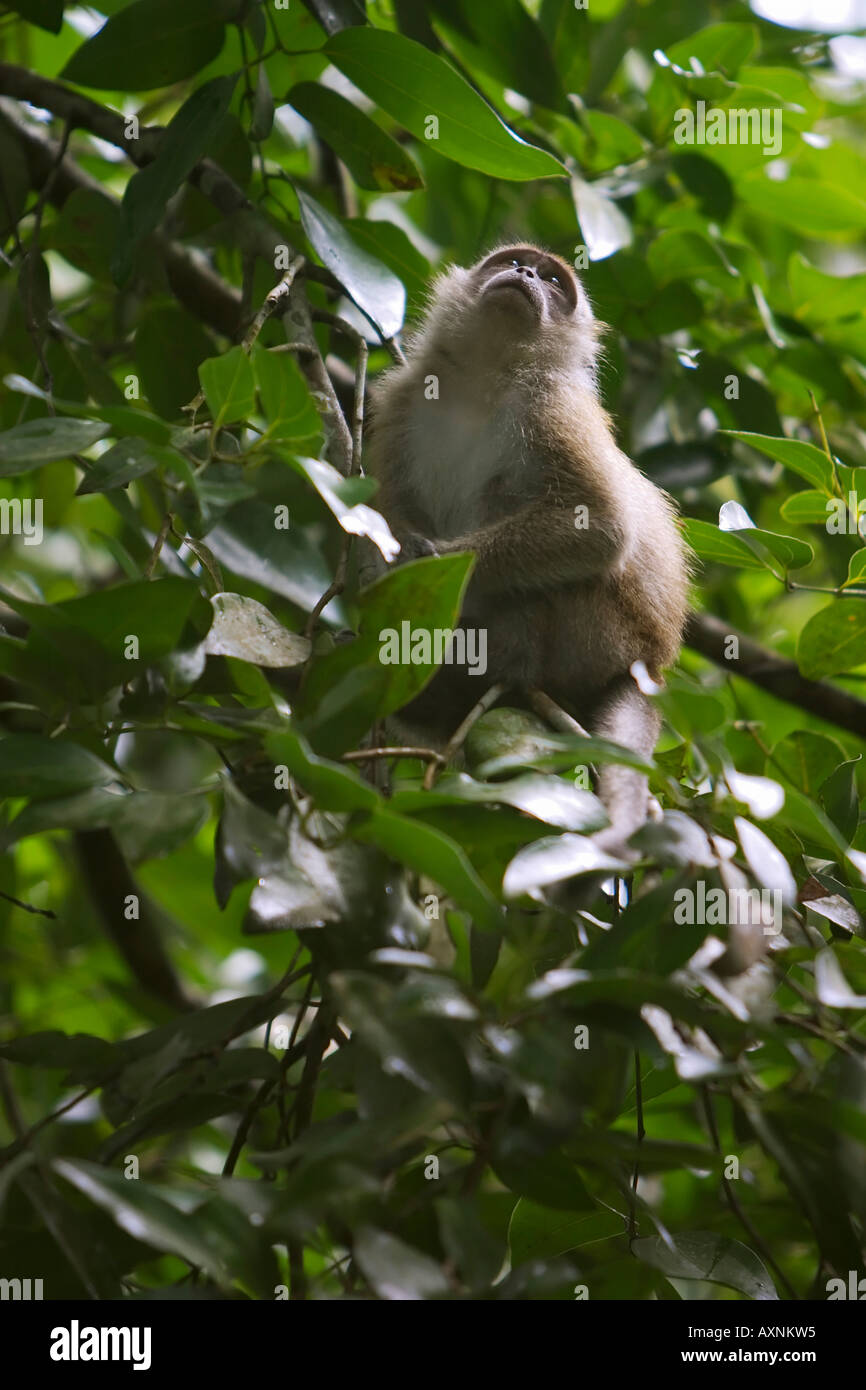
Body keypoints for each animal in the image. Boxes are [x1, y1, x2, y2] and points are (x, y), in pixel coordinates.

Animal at [364, 244, 690, 860]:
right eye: (511, 261)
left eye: (555, 282)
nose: (527, 274)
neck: (484, 380)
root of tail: (647, 661)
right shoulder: (400, 398)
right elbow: (388, 516)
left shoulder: (552, 407)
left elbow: (601, 527)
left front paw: (424, 560)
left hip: (597, 632)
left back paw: (501, 659)